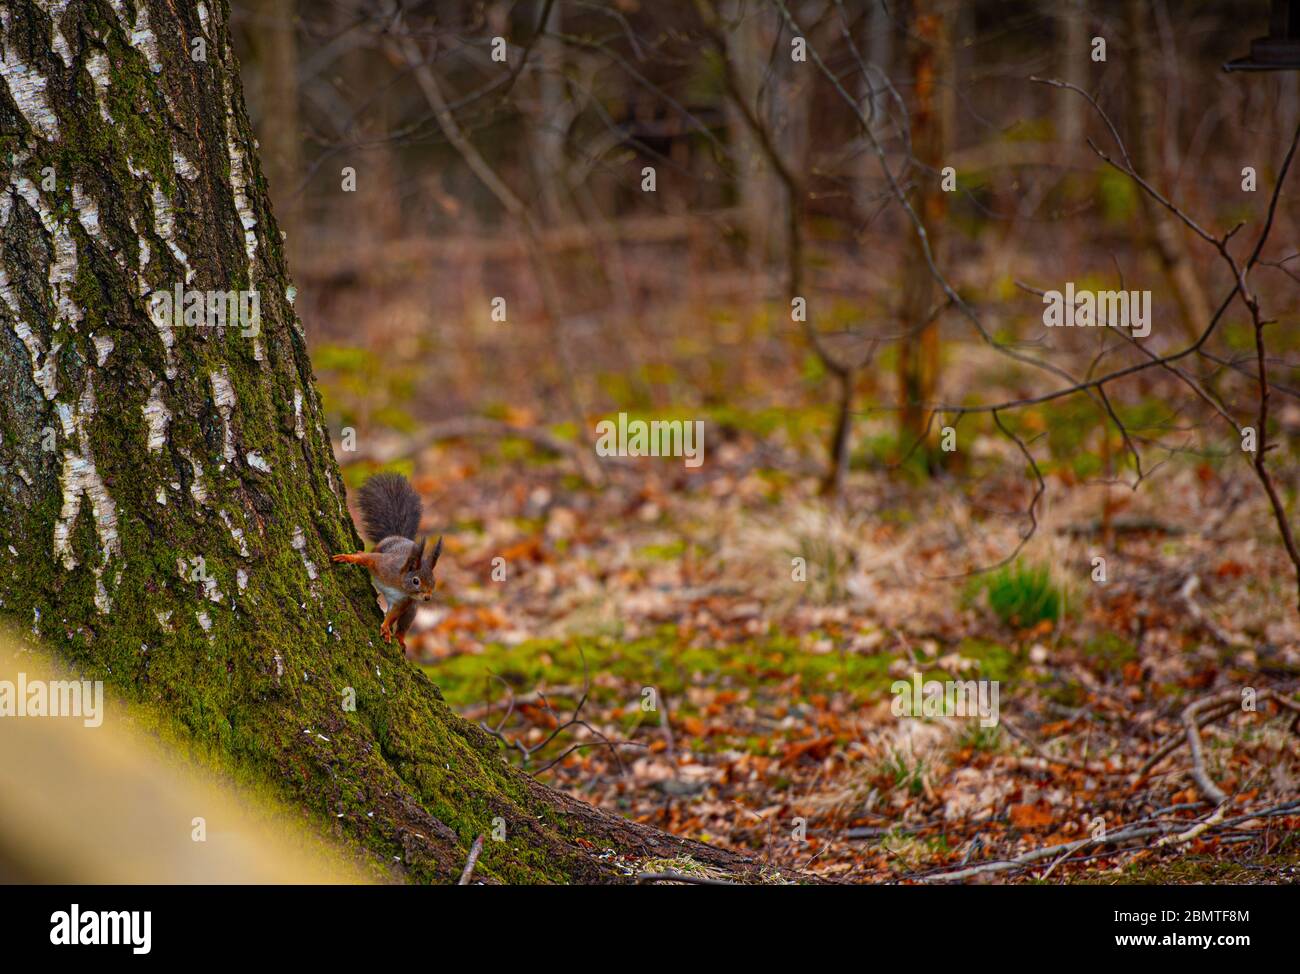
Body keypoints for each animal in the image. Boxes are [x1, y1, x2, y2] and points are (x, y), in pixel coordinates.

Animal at [332, 472, 443, 652]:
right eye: (416, 581)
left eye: (434, 582)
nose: (427, 598)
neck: (399, 584)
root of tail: (398, 536)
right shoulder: (383, 565)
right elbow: (368, 558)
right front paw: (349, 557)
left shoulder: (402, 601)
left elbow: (393, 615)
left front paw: (385, 627)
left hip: (412, 608)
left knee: (405, 622)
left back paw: (400, 637)